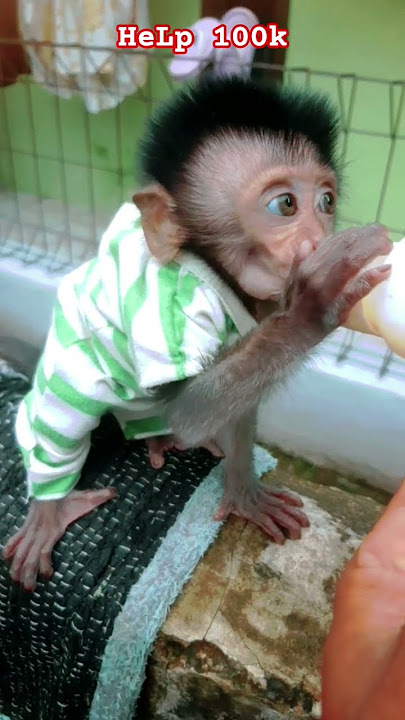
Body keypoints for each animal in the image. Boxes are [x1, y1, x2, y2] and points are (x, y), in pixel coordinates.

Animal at [2, 76, 392, 592]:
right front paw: (312, 305)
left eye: (327, 202)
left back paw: (159, 441)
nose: (318, 238)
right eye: (285, 205)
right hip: (70, 370)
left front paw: (244, 492)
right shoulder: (169, 308)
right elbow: (188, 407)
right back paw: (50, 508)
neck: (215, 270)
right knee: (60, 417)